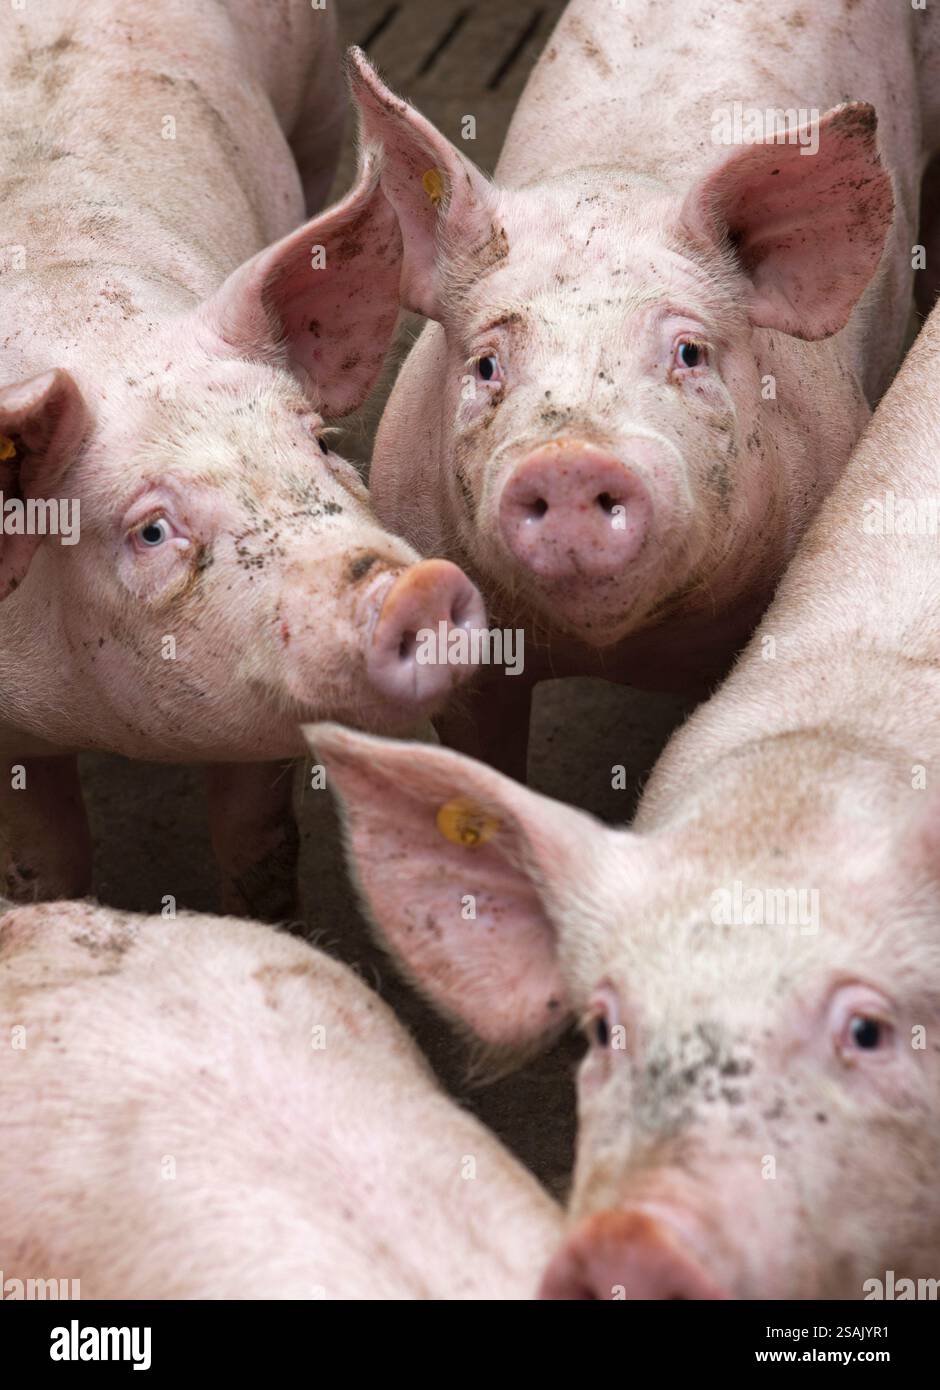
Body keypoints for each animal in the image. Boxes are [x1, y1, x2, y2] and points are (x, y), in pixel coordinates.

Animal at [0, 1, 485, 917]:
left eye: (321, 442)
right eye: (152, 531)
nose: (418, 587)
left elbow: (256, 841)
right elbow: (44, 867)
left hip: (317, 104)